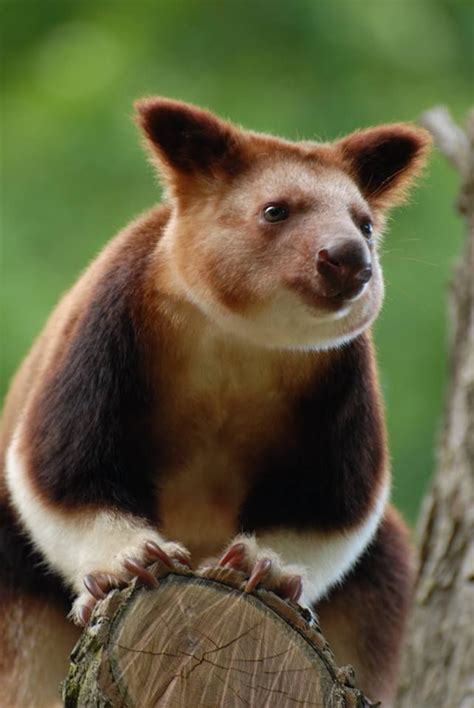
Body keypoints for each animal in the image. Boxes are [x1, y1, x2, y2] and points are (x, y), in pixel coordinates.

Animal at [0, 97, 430, 706]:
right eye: (275, 210)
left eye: (365, 223)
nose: (351, 260)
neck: (242, 336)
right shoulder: (105, 325)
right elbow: (62, 470)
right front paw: (129, 561)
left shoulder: (343, 373)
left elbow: (332, 502)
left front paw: (266, 566)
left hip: (372, 595)